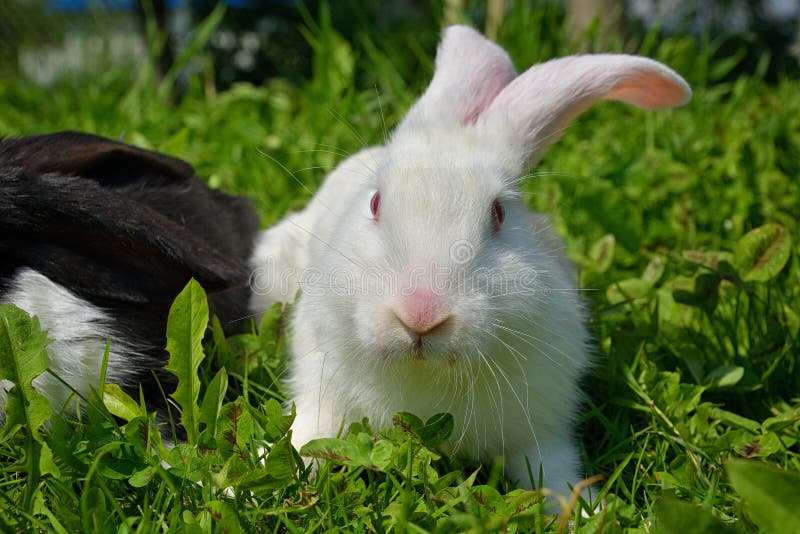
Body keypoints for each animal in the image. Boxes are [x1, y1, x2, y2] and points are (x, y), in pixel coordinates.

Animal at [248, 24, 691, 496]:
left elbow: (555, 476)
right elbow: (301, 442)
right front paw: (237, 489)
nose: (421, 314)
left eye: (498, 214)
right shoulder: (320, 398)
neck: (425, 374)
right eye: (375, 202)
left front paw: (587, 506)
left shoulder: (541, 432)